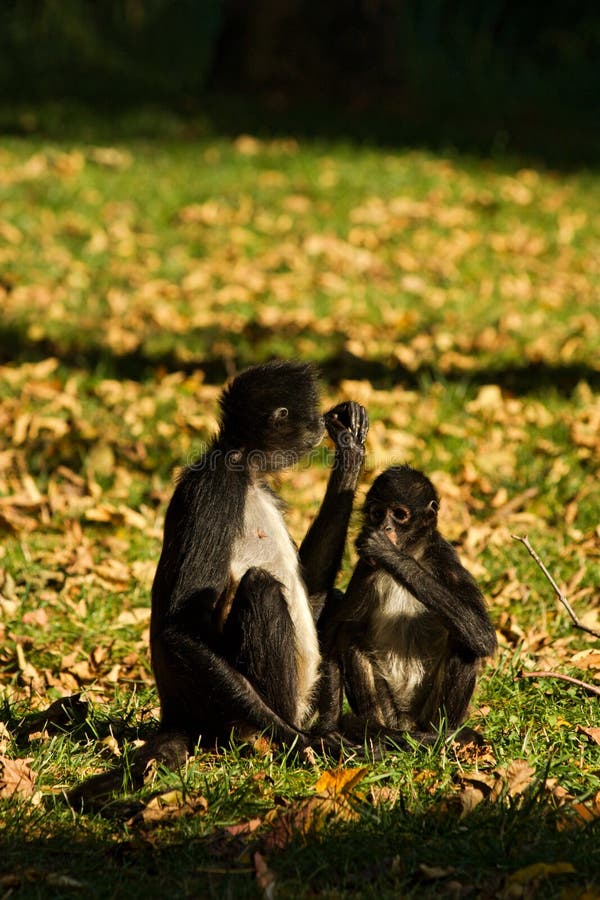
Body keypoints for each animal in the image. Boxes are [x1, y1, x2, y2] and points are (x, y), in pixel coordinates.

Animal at [150, 360, 369, 755]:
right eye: (311, 413)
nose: (321, 424)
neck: (245, 471)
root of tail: (178, 713)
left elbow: (313, 583)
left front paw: (350, 450)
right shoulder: (217, 484)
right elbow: (179, 627)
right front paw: (297, 741)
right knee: (261, 585)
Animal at [318, 465, 497, 746]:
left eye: (400, 515)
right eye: (377, 513)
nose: (385, 526)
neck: (412, 552)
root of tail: (407, 723)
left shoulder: (444, 557)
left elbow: (482, 635)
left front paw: (389, 554)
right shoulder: (364, 570)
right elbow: (331, 637)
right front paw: (328, 731)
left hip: (427, 714)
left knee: (467, 645)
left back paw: (440, 736)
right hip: (389, 710)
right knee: (349, 636)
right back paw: (375, 730)